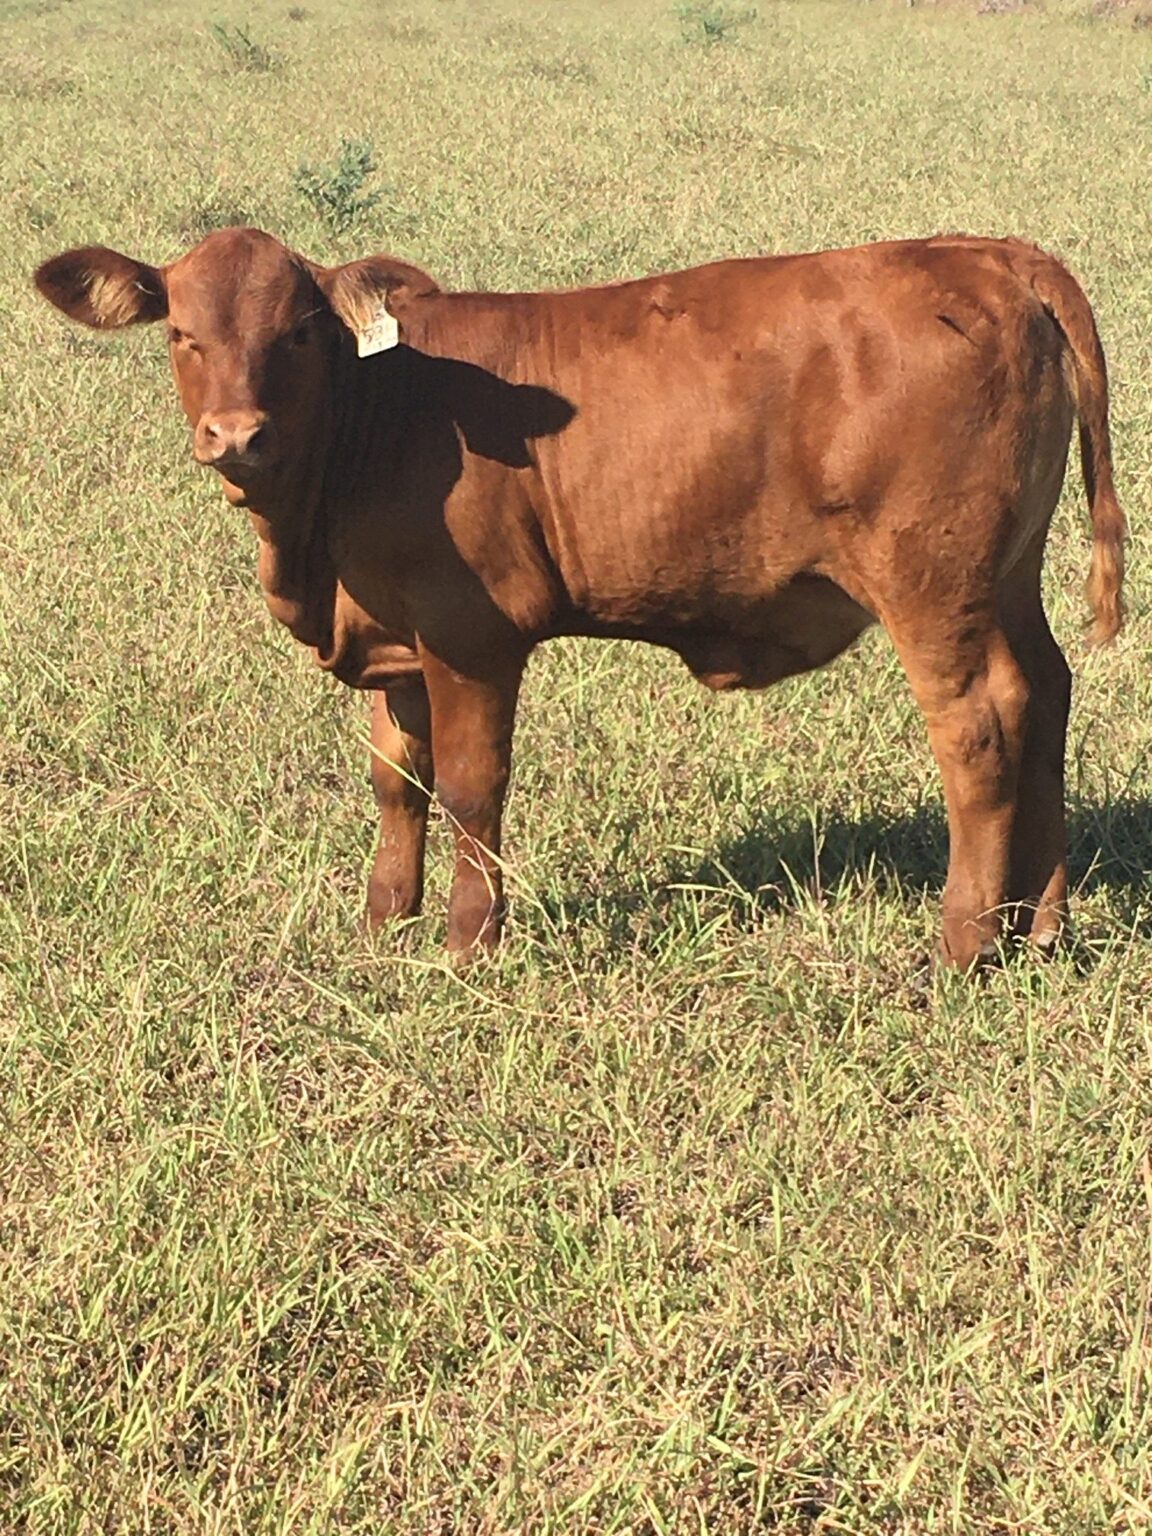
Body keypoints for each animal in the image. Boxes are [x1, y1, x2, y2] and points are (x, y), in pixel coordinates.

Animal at [34, 228, 1125, 971]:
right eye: (181, 332)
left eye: (299, 332)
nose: (236, 436)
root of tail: (985, 253)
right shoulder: (397, 643)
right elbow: (397, 783)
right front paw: (384, 923)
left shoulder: (470, 634)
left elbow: (471, 785)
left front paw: (469, 940)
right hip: (1005, 578)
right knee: (1045, 698)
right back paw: (1040, 928)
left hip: (932, 586)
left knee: (979, 731)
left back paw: (963, 946)